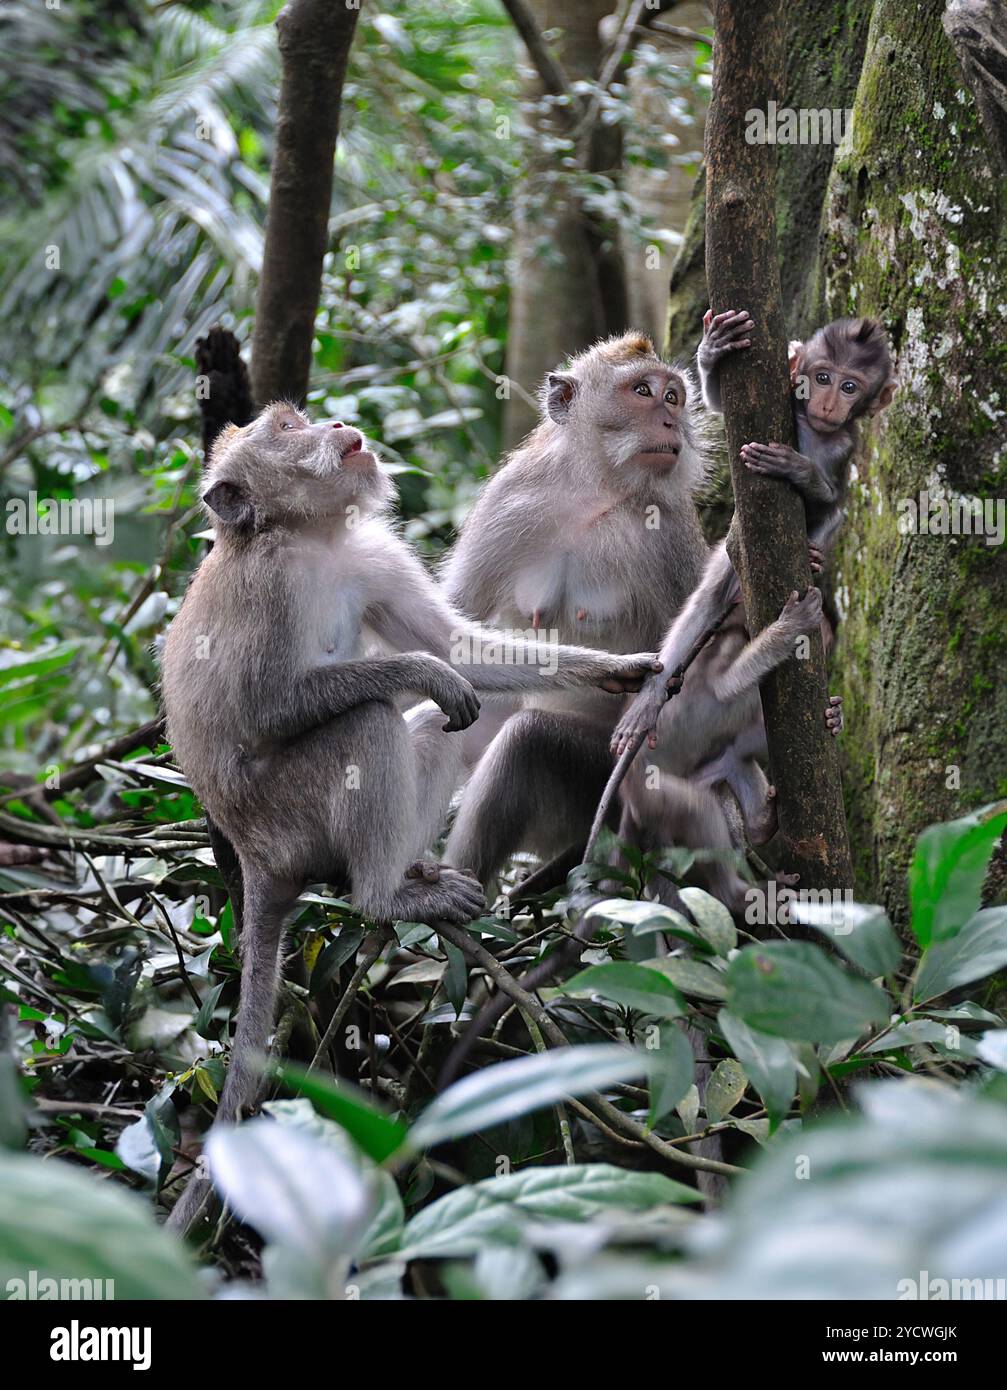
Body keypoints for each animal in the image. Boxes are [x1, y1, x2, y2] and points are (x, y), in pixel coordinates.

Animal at [160, 403, 657, 1234]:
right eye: (285, 428)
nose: (332, 421)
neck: (312, 538)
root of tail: (254, 856)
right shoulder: (268, 588)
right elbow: (276, 707)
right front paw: (418, 673)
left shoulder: (370, 554)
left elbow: (459, 646)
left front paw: (615, 669)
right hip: (289, 813)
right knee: (369, 724)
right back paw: (382, 893)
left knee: (432, 727)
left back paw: (411, 871)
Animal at [439, 332, 714, 889]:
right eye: (643, 391)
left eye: (673, 397)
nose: (672, 422)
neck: (597, 491)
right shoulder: (509, 500)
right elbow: (453, 623)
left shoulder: (672, 528)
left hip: (593, 790)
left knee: (528, 739)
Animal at [611, 309, 896, 754]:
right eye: (822, 377)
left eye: (849, 386)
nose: (829, 403)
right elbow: (721, 407)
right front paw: (714, 347)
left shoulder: (844, 445)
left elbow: (833, 501)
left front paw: (799, 470)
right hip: (732, 556)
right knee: (706, 600)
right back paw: (651, 697)